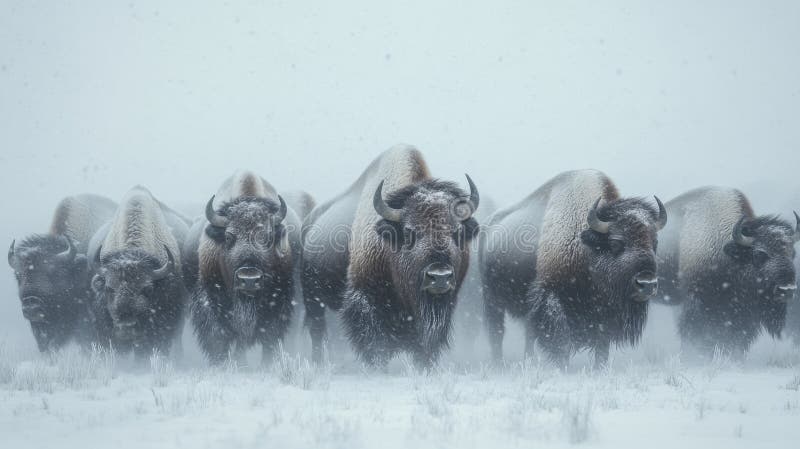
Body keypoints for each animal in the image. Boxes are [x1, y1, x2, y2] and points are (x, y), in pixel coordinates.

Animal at [302, 145, 480, 369]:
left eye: (457, 233)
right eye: (410, 232)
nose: (439, 276)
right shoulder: (364, 300)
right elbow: (376, 347)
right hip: (312, 298)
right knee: (317, 331)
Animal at [480, 170, 666, 368]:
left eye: (655, 242)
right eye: (616, 243)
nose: (647, 283)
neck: (586, 247)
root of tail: (488, 224)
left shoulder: (604, 315)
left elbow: (602, 348)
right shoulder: (552, 298)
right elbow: (561, 343)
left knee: (527, 336)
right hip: (492, 299)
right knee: (497, 333)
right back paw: (499, 365)